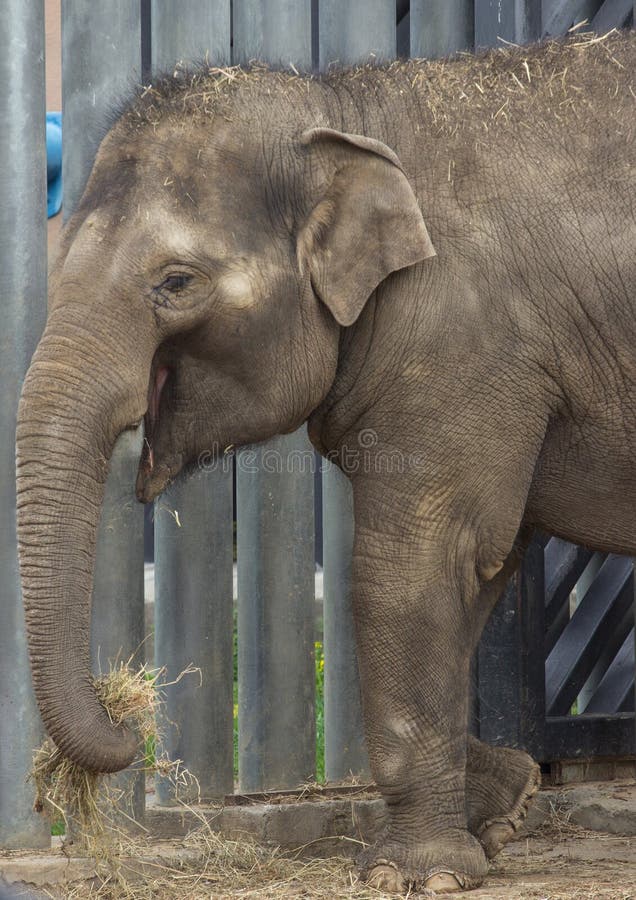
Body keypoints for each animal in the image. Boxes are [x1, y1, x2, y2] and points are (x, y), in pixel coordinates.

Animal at [16, 29, 636, 893]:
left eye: (176, 281)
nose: (132, 721)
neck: (343, 108)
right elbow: (482, 565)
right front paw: (502, 810)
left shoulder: (461, 343)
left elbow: (413, 565)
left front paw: (416, 873)